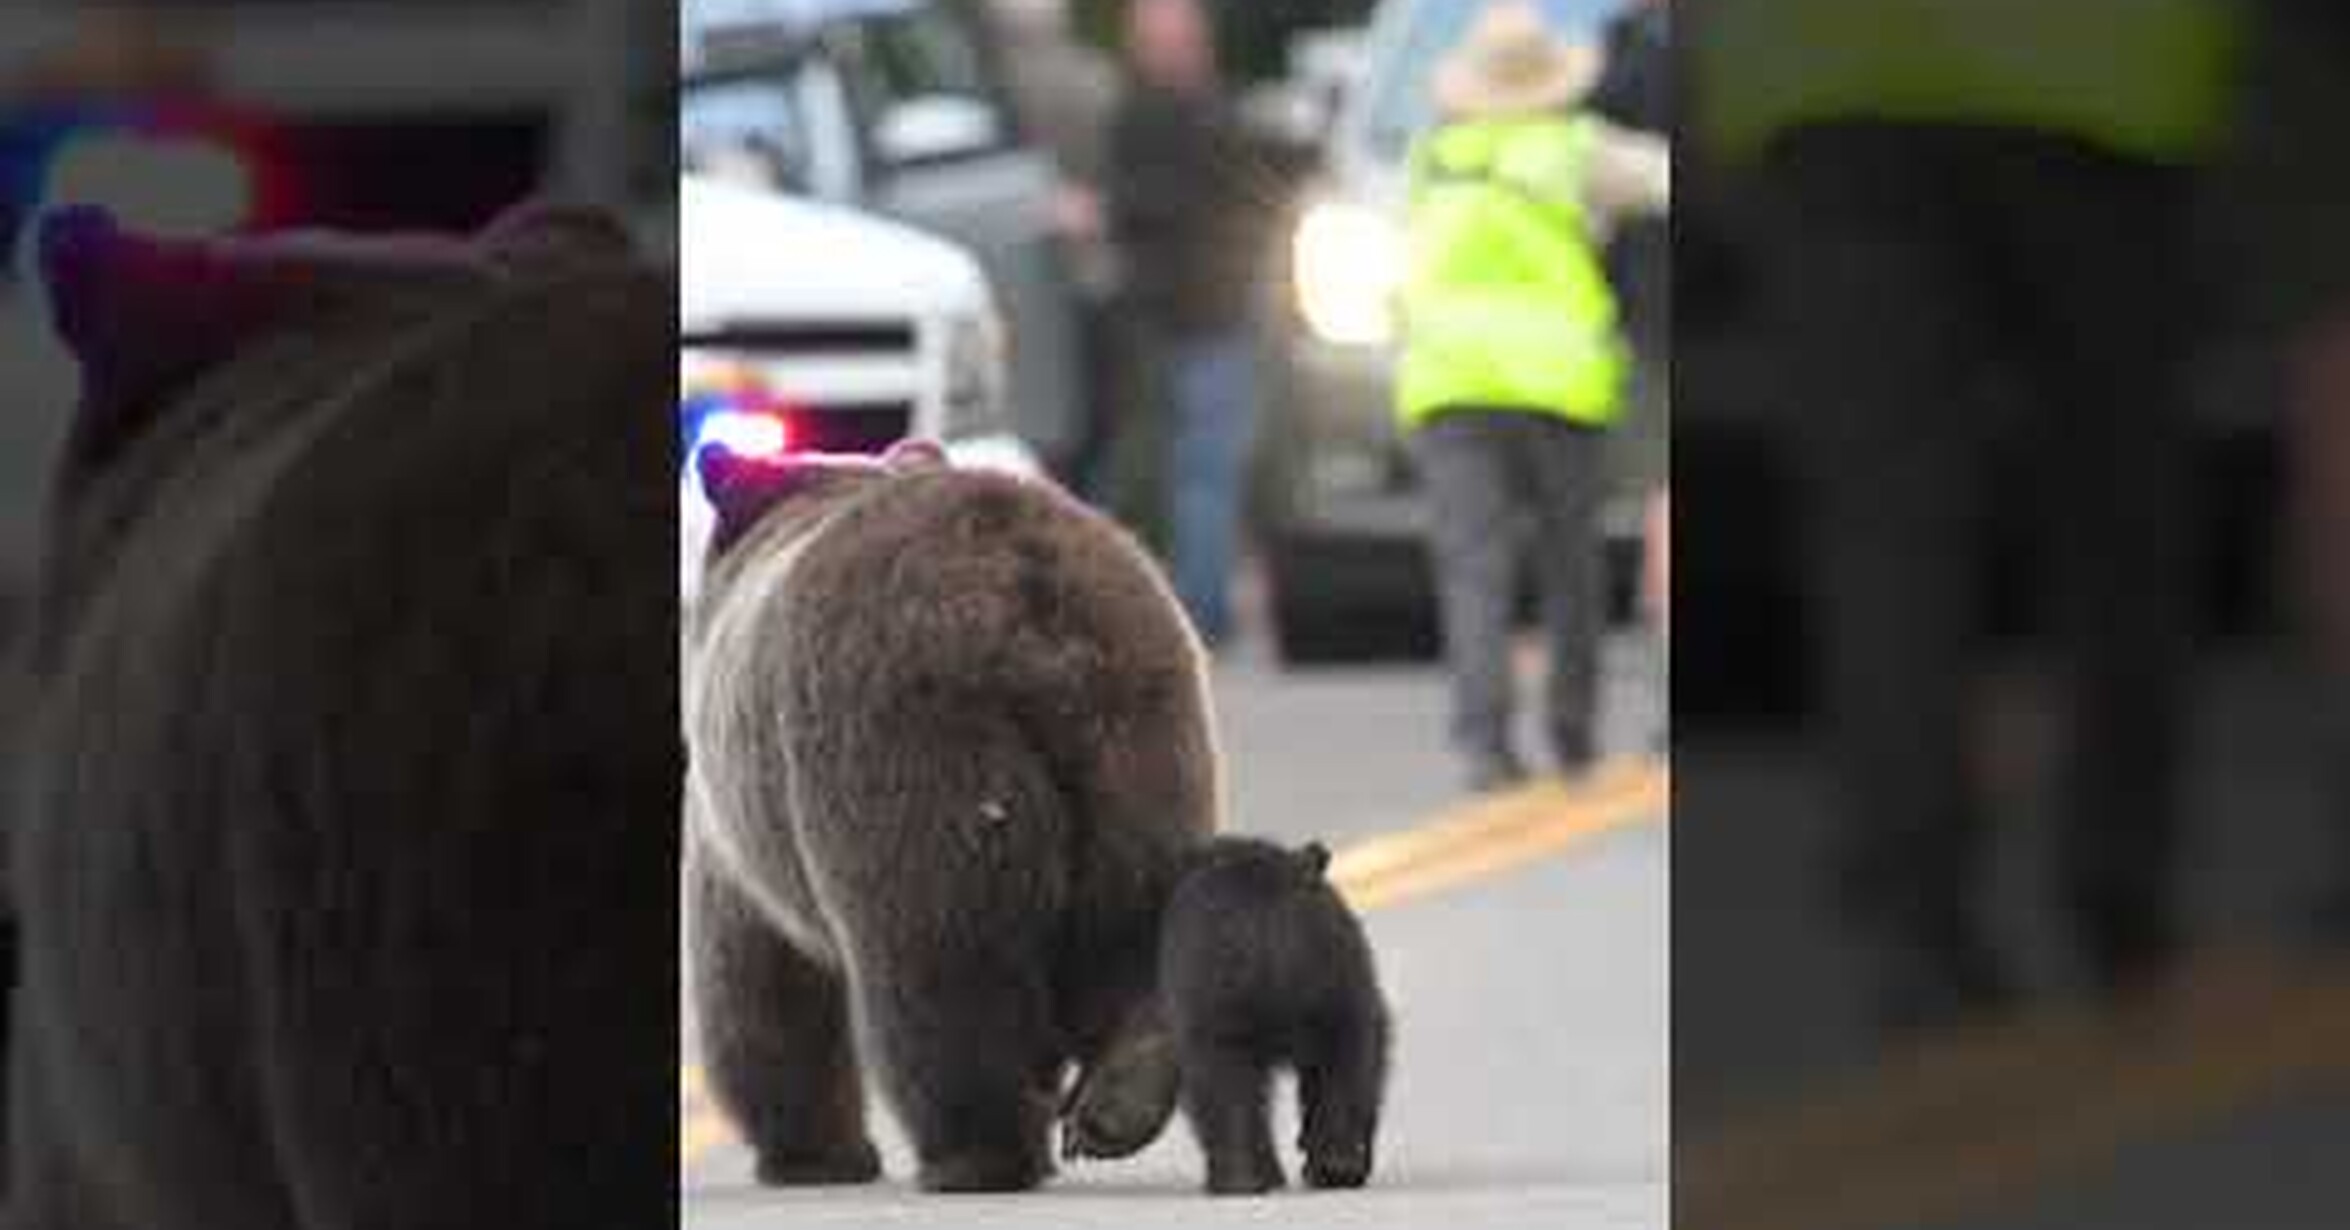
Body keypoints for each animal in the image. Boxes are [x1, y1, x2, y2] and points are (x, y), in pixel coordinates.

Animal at [682, 441, 1221, 1192]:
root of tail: (1030, 598)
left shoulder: (737, 825)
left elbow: (760, 983)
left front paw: (812, 1154)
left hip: (910, 746)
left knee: (940, 967)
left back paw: (972, 1154)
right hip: (1139, 731)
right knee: (1138, 918)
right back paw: (1120, 1099)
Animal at [1149, 836, 1391, 1195]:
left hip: (1220, 997)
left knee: (1221, 1078)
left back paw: (1239, 1178)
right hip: (1338, 977)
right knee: (1349, 1060)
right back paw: (1336, 1165)